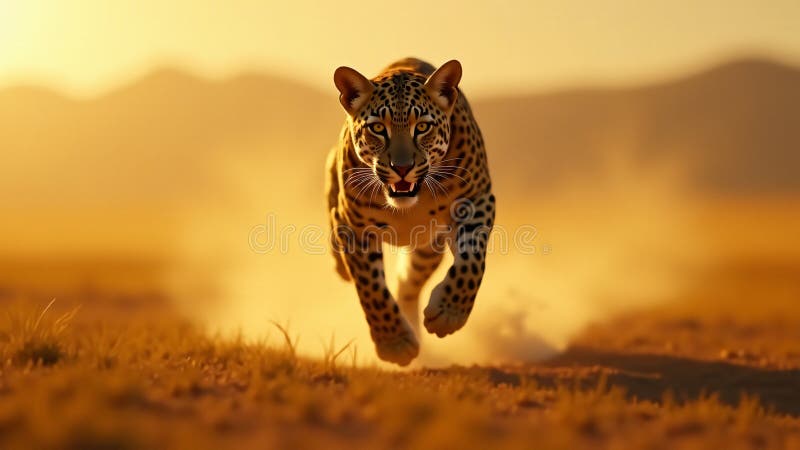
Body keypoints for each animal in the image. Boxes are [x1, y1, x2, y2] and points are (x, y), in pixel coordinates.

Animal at [325, 57, 495, 366]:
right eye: (378, 128)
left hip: (427, 250)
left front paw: (449, 314)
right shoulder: (355, 228)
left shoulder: (477, 199)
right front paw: (395, 344)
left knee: (407, 282)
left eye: (423, 127)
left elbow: (472, 261)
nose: (402, 167)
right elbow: (371, 289)